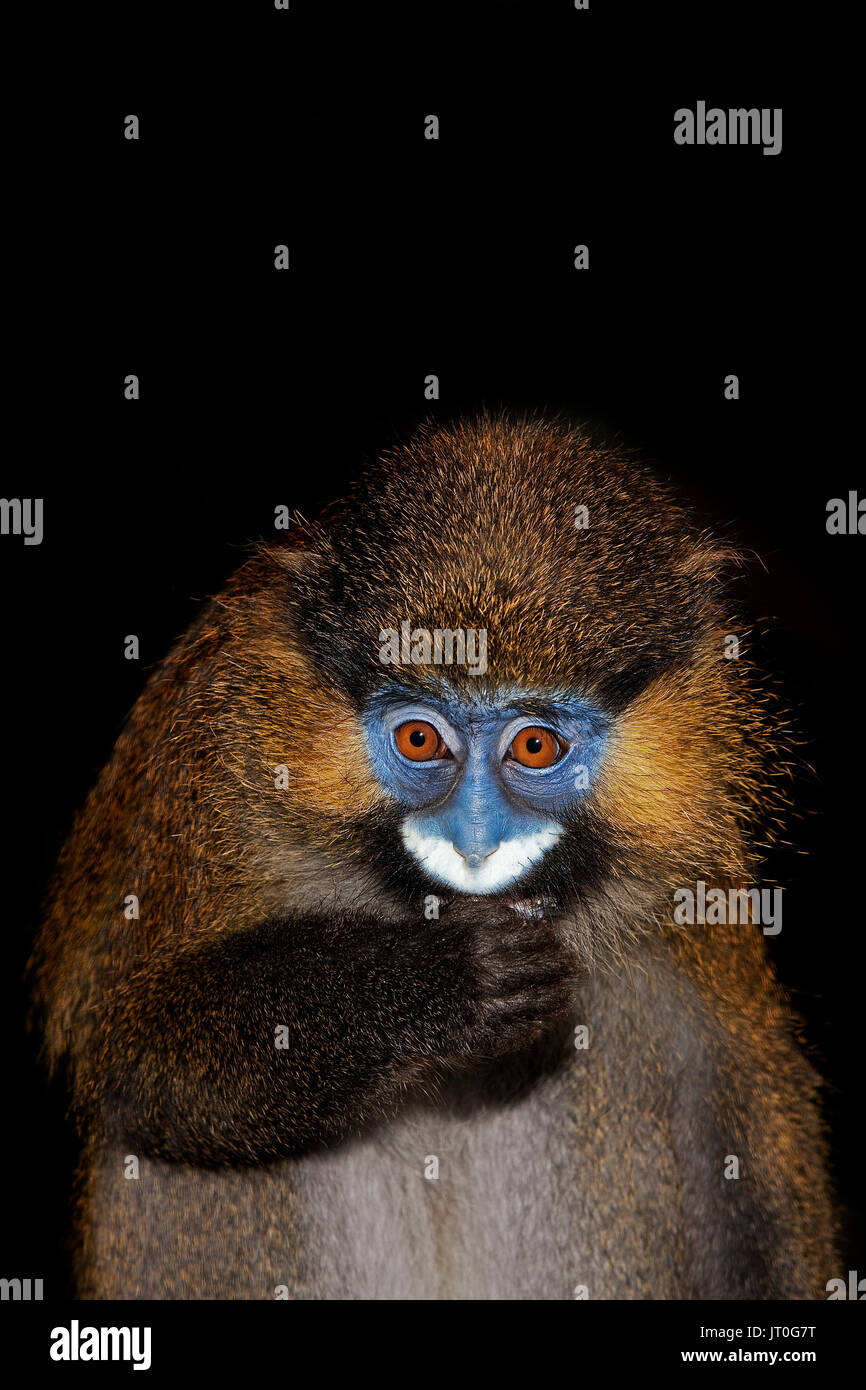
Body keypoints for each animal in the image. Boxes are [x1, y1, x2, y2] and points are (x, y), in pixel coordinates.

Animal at [30, 412, 837, 1300]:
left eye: (534, 745)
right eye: (420, 737)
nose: (475, 844)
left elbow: (750, 1131)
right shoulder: (213, 779)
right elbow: (130, 1051)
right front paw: (433, 983)